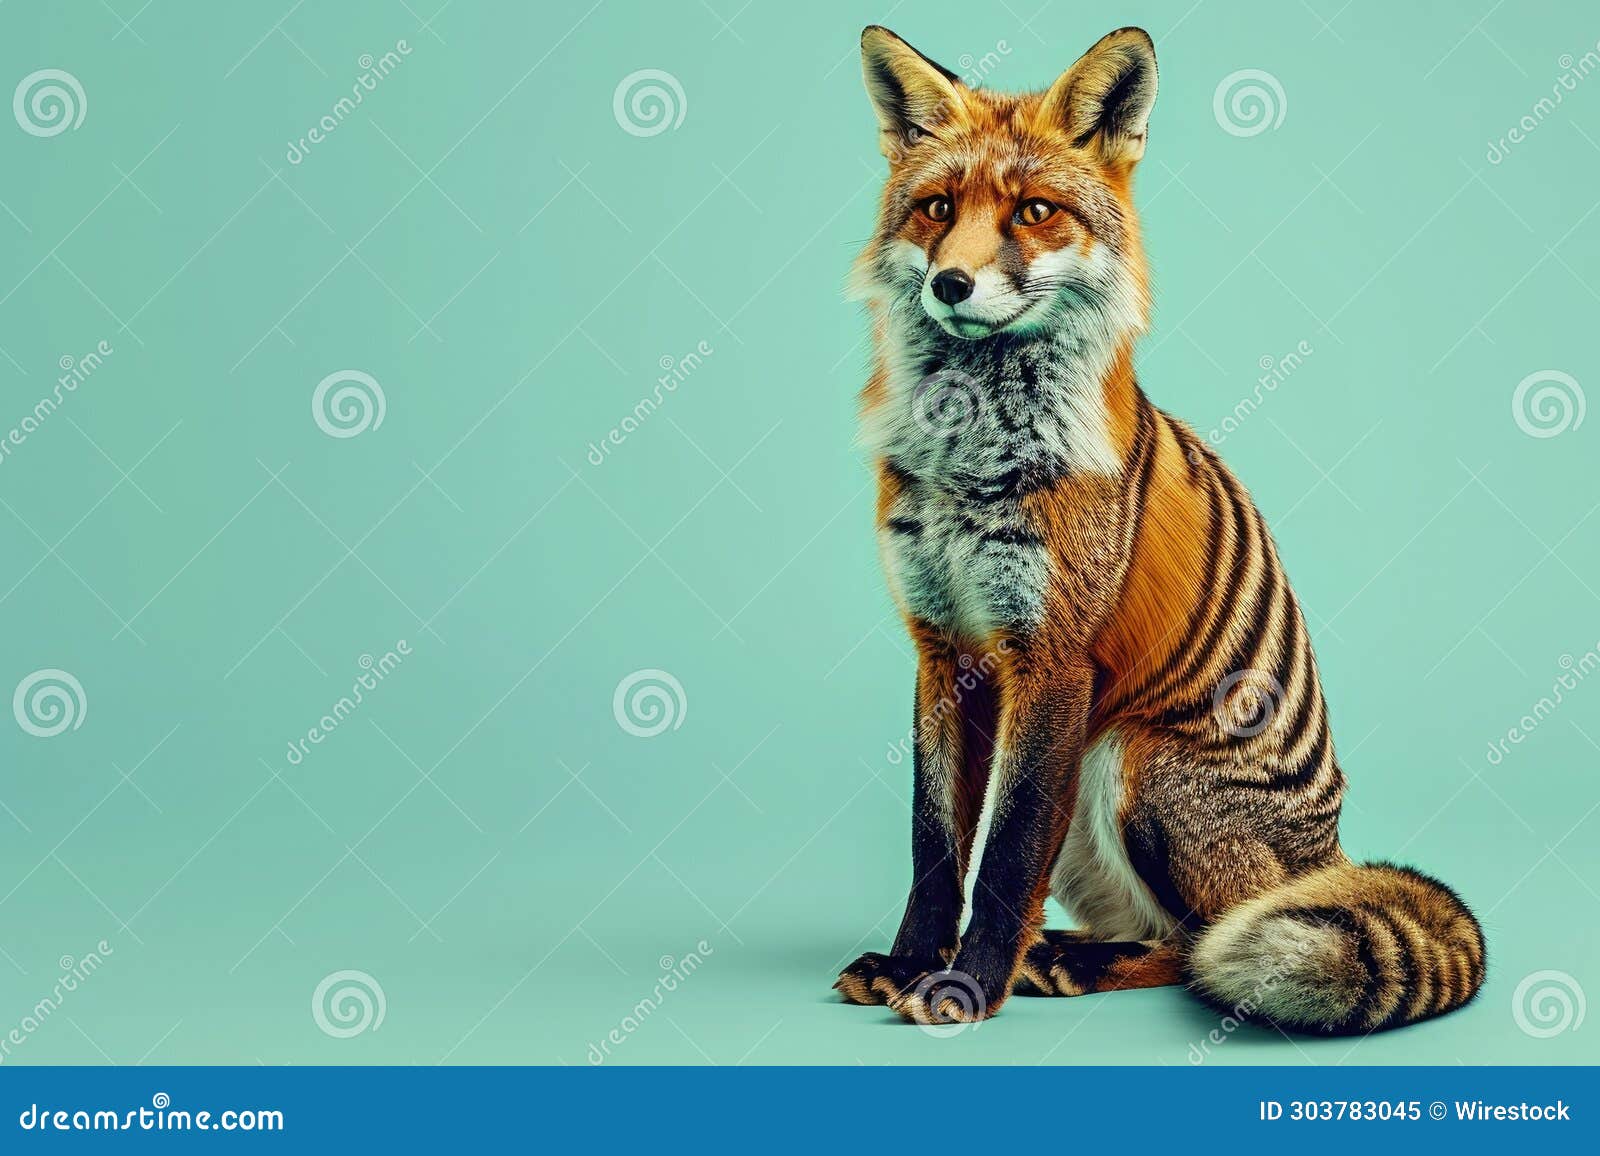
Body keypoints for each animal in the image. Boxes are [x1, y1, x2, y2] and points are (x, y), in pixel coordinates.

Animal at [834, 25, 1485, 1034]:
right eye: (937, 208)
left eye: (1033, 212)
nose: (951, 282)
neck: (969, 462)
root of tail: (1330, 853)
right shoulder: (943, 649)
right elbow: (936, 847)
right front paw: (910, 962)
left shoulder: (1052, 658)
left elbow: (1005, 856)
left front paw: (966, 983)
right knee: (1158, 931)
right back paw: (1065, 953)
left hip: (1128, 761)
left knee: (1203, 947)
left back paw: (1071, 963)